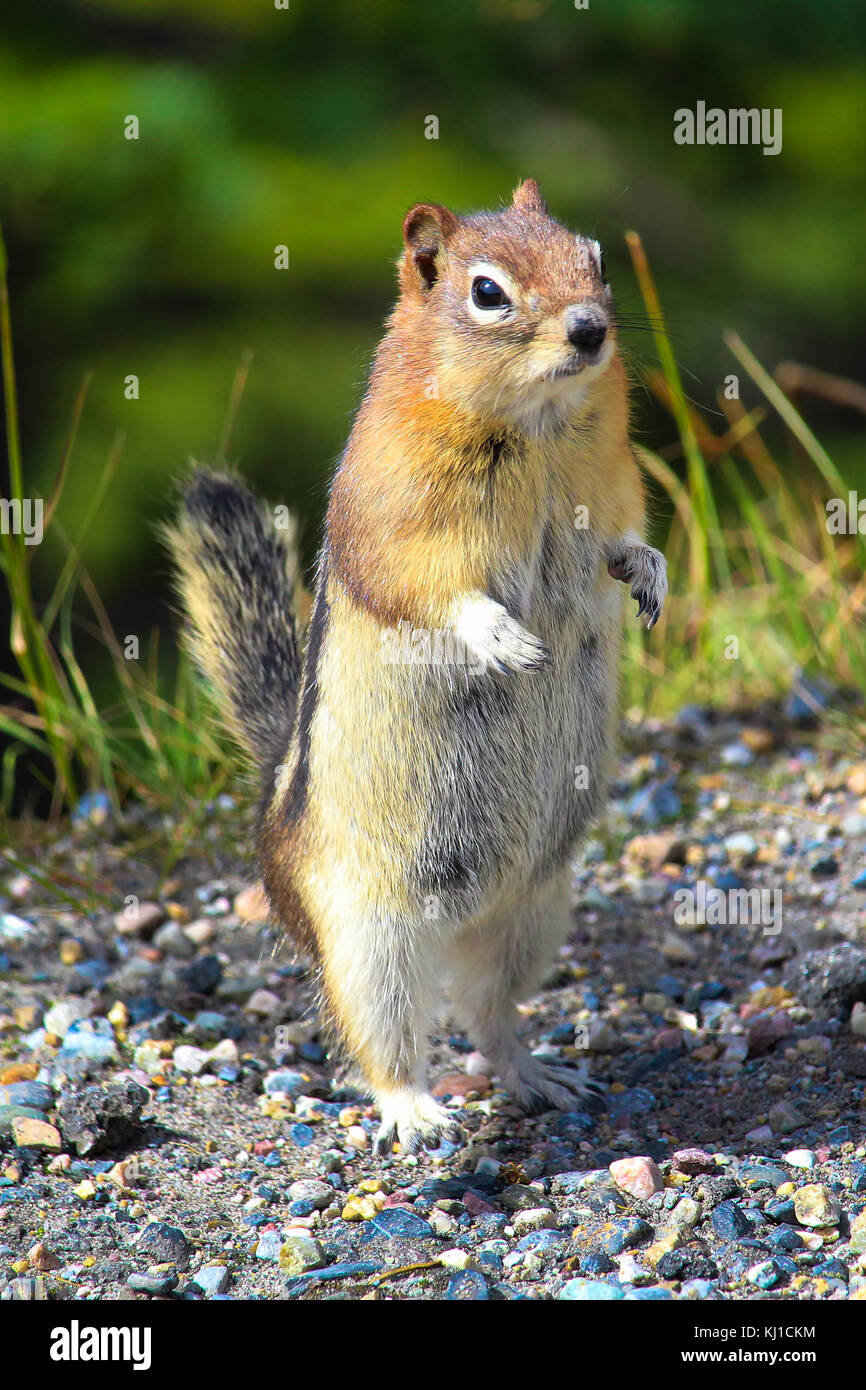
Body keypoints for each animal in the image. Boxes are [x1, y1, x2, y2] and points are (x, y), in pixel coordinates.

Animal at [164, 179, 667, 1155]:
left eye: (592, 255)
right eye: (487, 292)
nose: (591, 329)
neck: (536, 426)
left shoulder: (614, 486)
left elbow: (625, 544)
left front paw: (650, 573)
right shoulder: (394, 519)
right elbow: (429, 592)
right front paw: (504, 638)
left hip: (535, 913)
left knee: (488, 1014)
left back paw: (536, 1074)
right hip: (369, 939)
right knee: (385, 1035)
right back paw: (414, 1108)